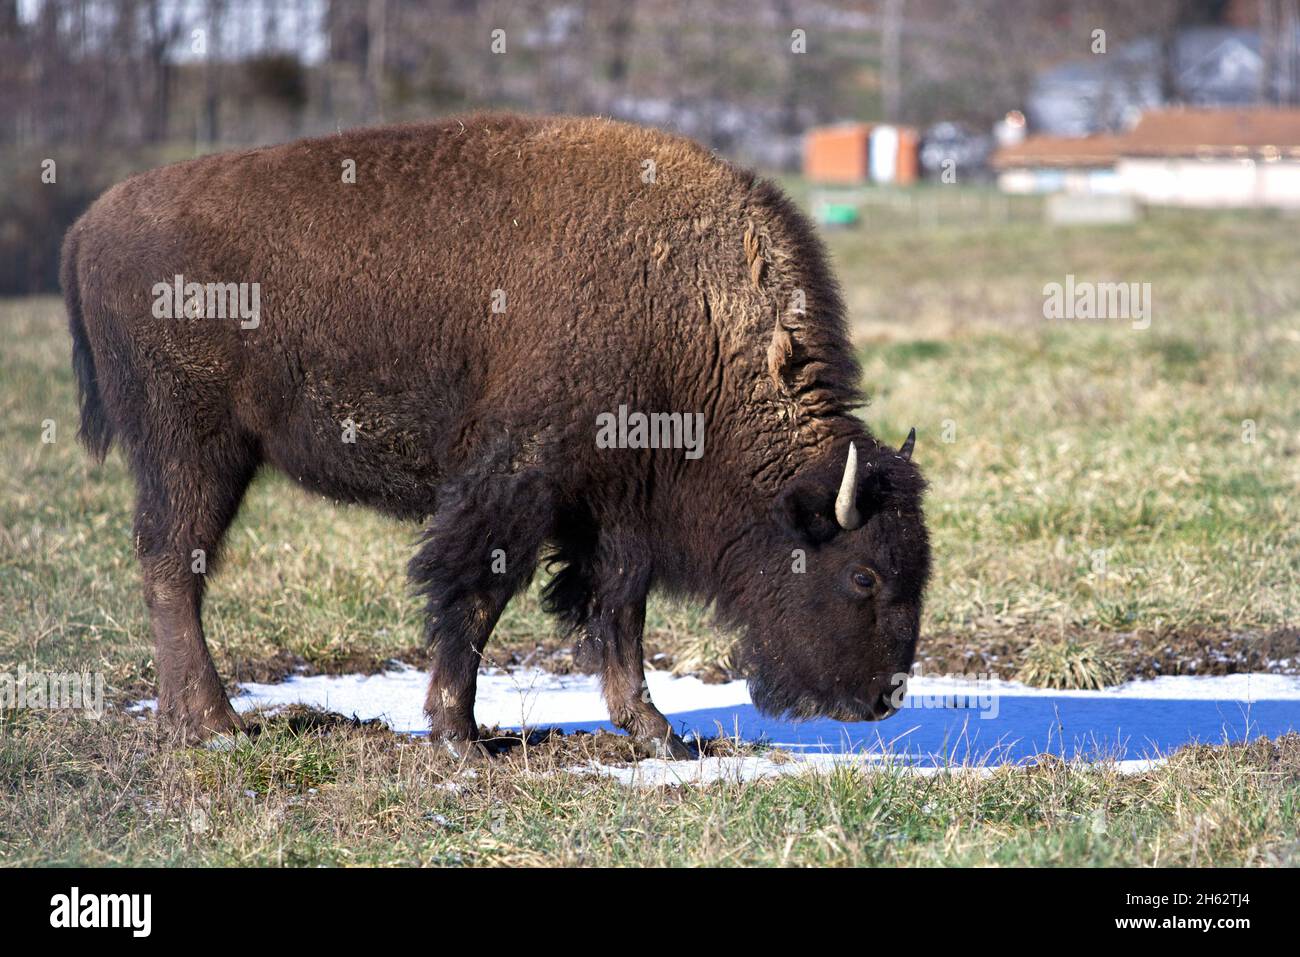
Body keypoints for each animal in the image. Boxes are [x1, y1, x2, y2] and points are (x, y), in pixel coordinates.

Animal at [62, 113, 931, 757]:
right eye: (862, 576)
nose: (881, 701)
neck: (692, 312)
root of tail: (88, 225)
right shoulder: (519, 481)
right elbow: (477, 595)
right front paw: (459, 736)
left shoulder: (617, 508)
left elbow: (619, 611)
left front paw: (657, 733)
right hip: (193, 446)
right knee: (173, 565)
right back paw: (218, 726)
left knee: (169, 564)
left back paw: (191, 721)